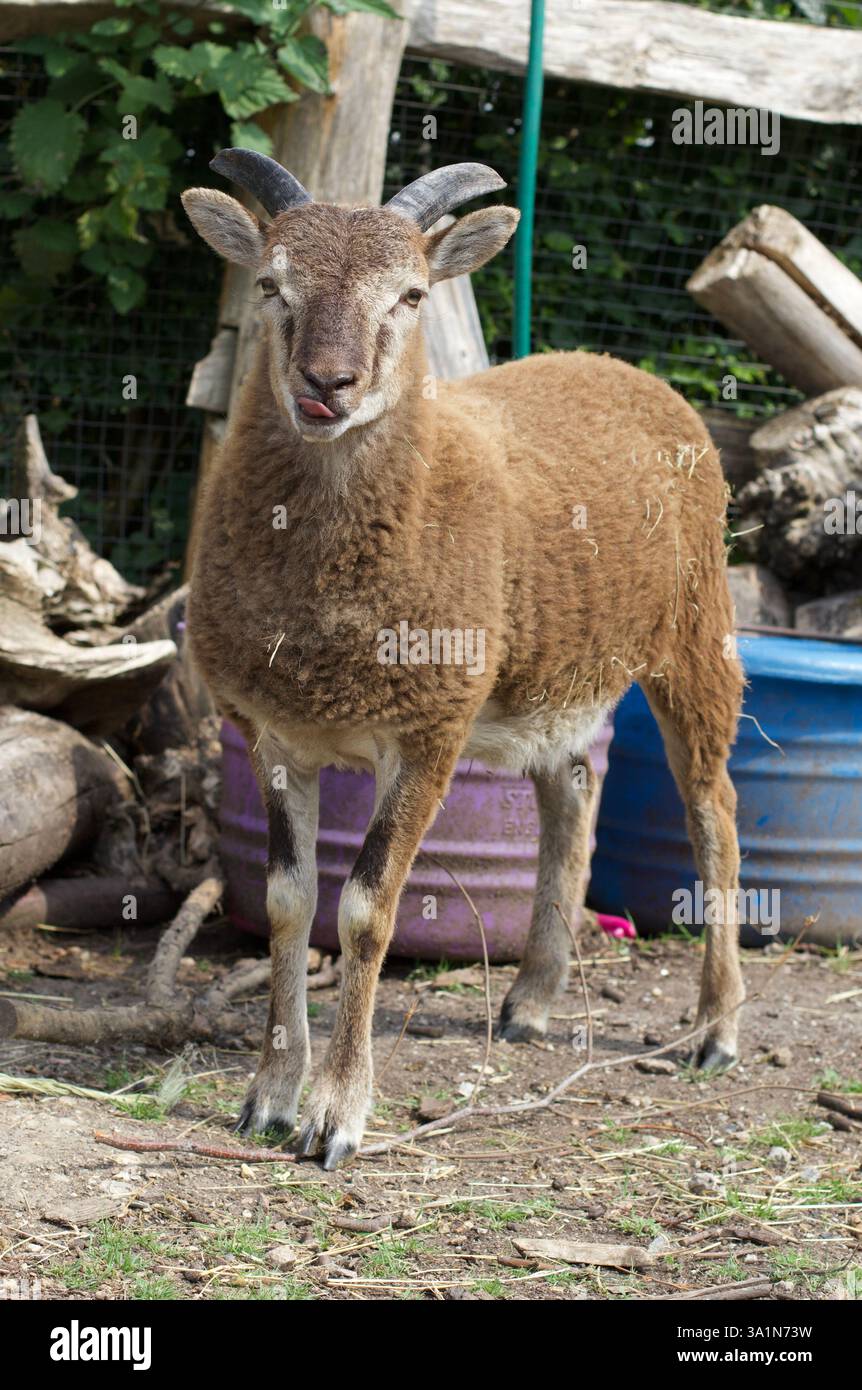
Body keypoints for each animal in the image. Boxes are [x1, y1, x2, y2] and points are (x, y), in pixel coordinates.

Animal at [182, 149, 745, 1170]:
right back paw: (530, 1003)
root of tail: (617, 366)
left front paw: (336, 1117)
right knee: (572, 790)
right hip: (558, 671)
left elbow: (365, 909)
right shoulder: (271, 735)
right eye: (271, 285)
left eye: (410, 294)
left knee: (711, 807)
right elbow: (287, 902)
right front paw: (269, 1098)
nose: (327, 384)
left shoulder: (428, 730)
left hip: (694, 631)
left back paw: (717, 1029)